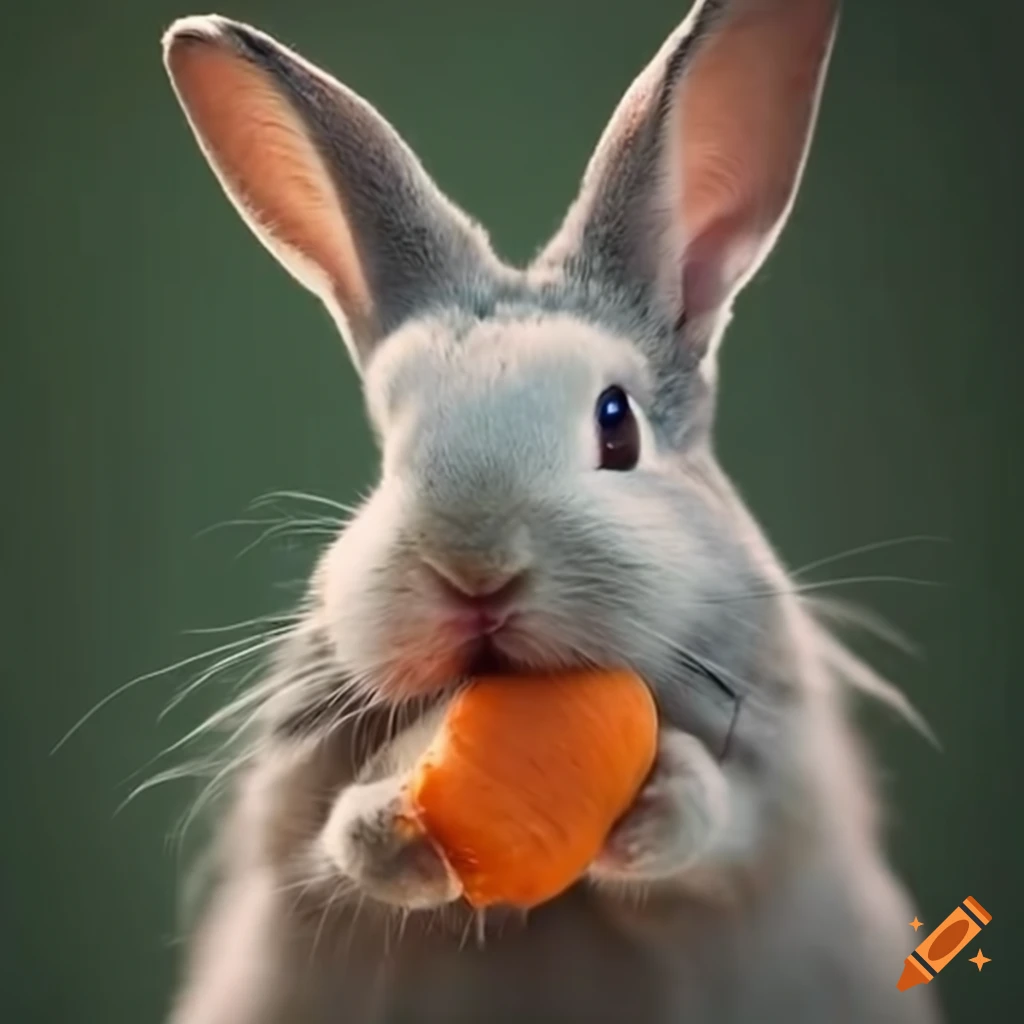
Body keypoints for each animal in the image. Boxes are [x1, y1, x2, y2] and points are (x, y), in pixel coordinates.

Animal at [160, 2, 942, 1022]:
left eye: (618, 425)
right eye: (389, 451)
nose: (475, 572)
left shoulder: (783, 779)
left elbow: (727, 818)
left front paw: (656, 819)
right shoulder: (295, 799)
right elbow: (328, 835)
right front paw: (394, 828)